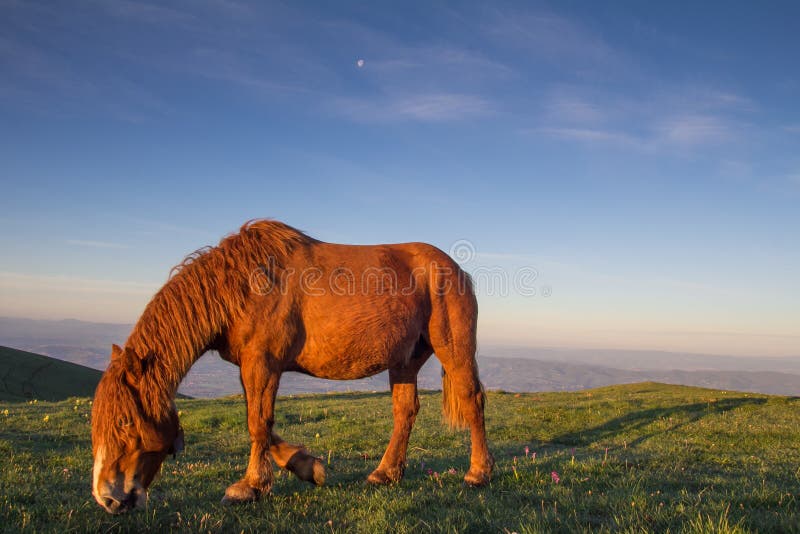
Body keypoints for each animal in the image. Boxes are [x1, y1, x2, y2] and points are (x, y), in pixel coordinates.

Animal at [91, 220, 492, 513]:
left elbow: (258, 424)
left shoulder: (262, 364)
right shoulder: (252, 367)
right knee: (405, 411)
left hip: (453, 350)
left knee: (472, 401)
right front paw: (306, 466)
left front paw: (250, 487)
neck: (242, 286)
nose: (108, 498)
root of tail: (455, 269)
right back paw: (385, 474)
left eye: (124, 422)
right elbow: (262, 424)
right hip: (405, 360)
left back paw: (478, 474)